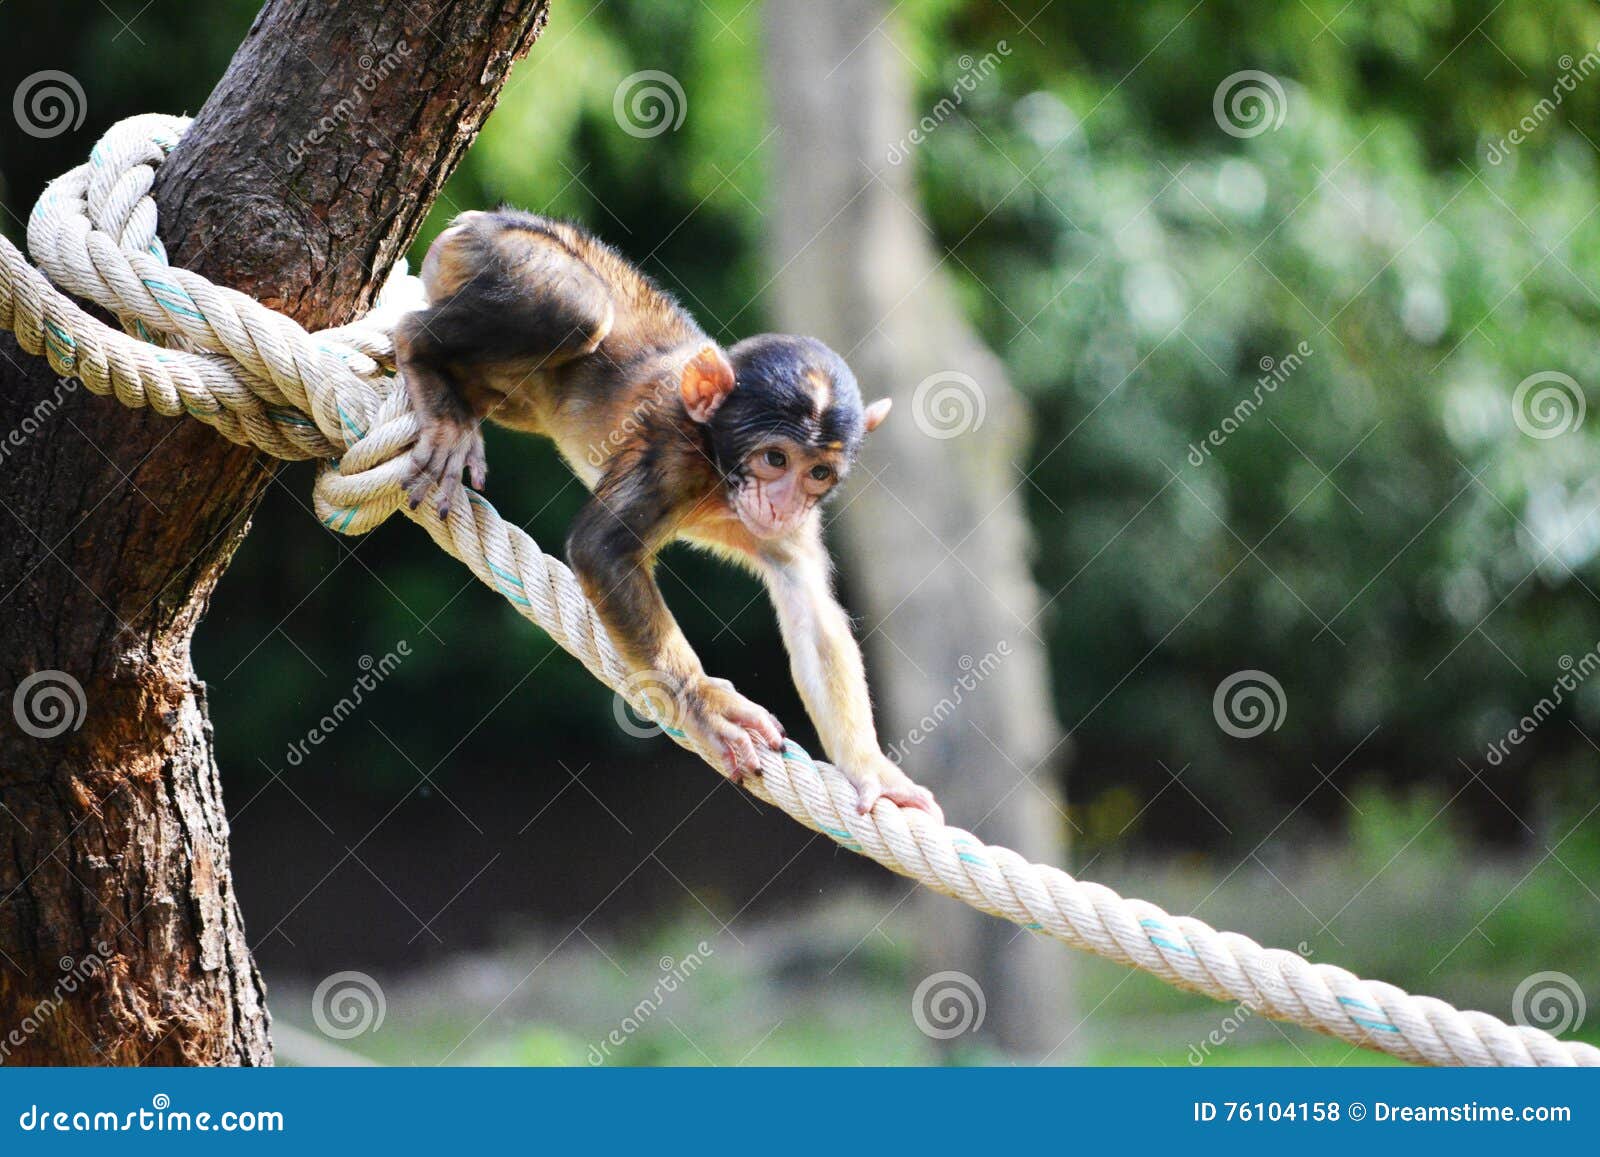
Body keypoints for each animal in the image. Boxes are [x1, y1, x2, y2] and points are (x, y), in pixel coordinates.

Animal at [394, 209, 942, 821]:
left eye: (817, 473)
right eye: (775, 458)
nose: (782, 503)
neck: (717, 466)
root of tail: (484, 218)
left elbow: (811, 609)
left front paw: (871, 769)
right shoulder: (671, 452)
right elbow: (601, 550)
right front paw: (705, 705)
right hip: (497, 251)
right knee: (578, 305)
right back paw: (419, 354)